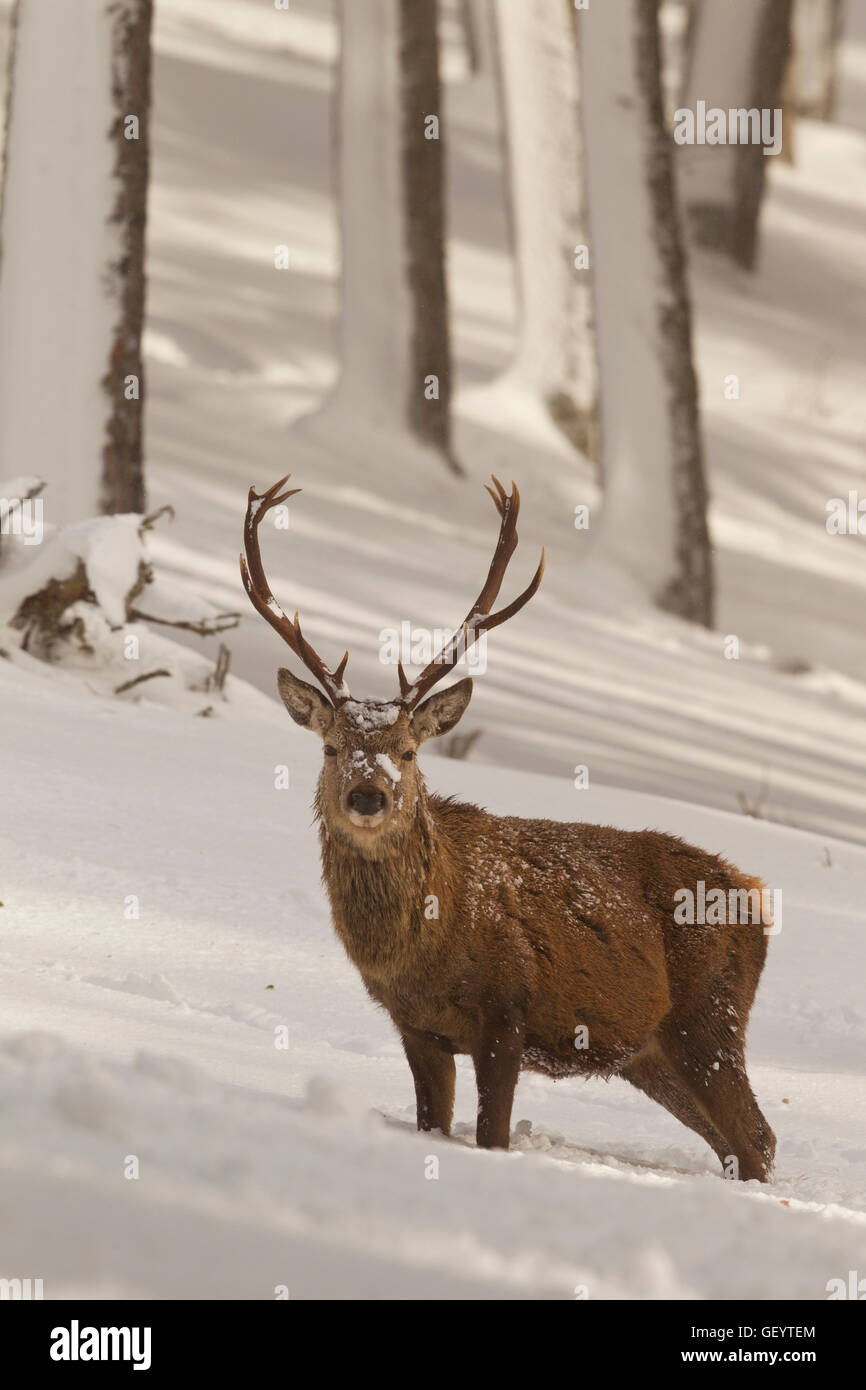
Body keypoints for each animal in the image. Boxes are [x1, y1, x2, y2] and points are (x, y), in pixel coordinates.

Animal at [241, 475, 776, 1182]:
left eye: (408, 751)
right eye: (331, 748)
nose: (368, 795)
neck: (424, 946)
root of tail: (757, 897)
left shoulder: (507, 1011)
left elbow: (491, 1135)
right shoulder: (417, 1027)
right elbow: (434, 1125)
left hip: (710, 1015)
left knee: (757, 1137)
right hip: (650, 1053)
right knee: (735, 1142)